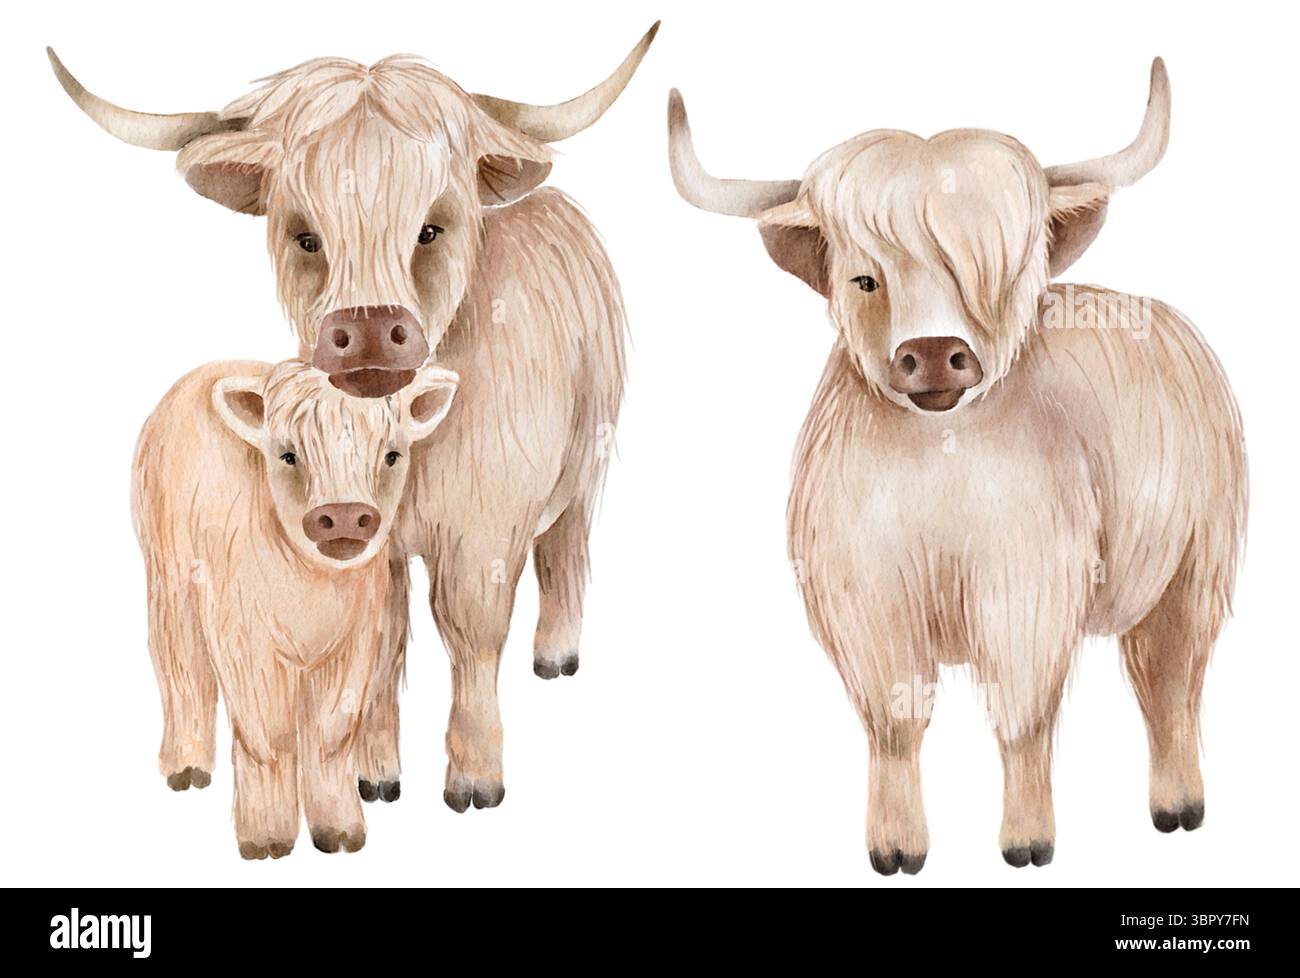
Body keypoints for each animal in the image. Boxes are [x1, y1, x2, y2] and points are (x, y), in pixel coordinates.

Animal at [134, 359, 458, 857]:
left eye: (391, 455)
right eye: (288, 455)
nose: (343, 516)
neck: (312, 590)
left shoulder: (358, 638)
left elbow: (331, 732)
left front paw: (341, 834)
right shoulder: (240, 634)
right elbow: (268, 733)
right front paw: (266, 839)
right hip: (168, 576)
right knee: (180, 664)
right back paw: (186, 770)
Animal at [668, 61, 1247, 873]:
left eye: (995, 274)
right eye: (865, 278)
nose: (936, 352)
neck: (935, 472)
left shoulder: (1029, 590)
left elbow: (1023, 716)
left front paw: (1028, 840)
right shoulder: (865, 599)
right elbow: (894, 721)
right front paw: (895, 847)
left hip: (1196, 568)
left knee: (1172, 680)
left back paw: (1179, 808)